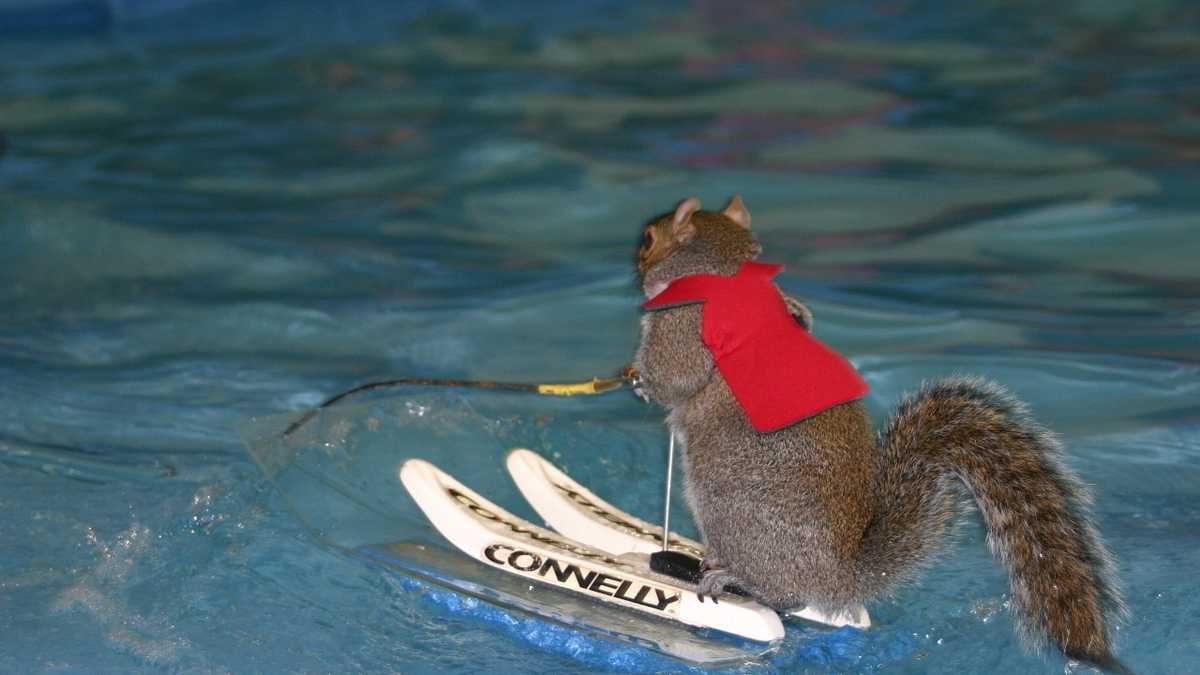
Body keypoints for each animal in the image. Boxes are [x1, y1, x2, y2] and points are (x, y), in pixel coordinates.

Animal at [632, 196, 1127, 672]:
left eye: (649, 238)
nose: (636, 270)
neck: (725, 265)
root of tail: (840, 578)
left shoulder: (682, 320)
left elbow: (676, 376)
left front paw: (640, 380)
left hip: (725, 504)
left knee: (788, 595)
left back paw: (738, 578)